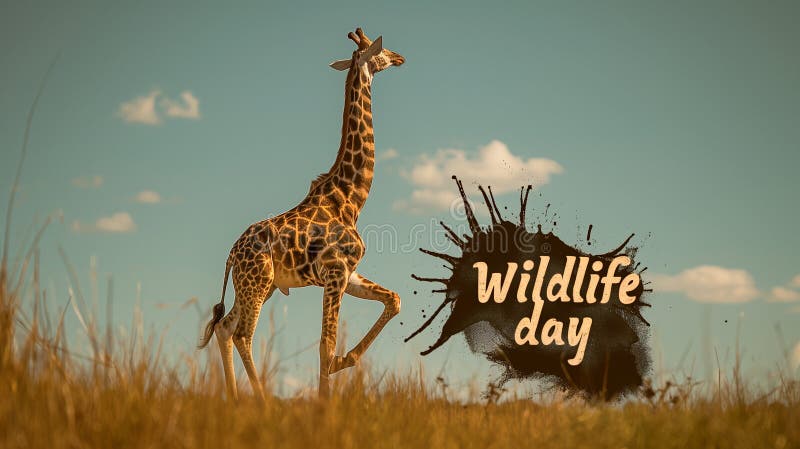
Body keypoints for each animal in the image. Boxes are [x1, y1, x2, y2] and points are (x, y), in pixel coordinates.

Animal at [198, 28, 405, 400]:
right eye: (378, 50)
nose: (400, 58)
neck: (349, 199)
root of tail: (232, 255)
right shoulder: (335, 272)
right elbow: (326, 343)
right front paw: (325, 400)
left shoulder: (348, 273)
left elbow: (393, 300)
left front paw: (346, 361)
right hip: (257, 282)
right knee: (242, 334)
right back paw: (262, 401)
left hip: (256, 285)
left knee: (224, 328)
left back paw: (234, 399)